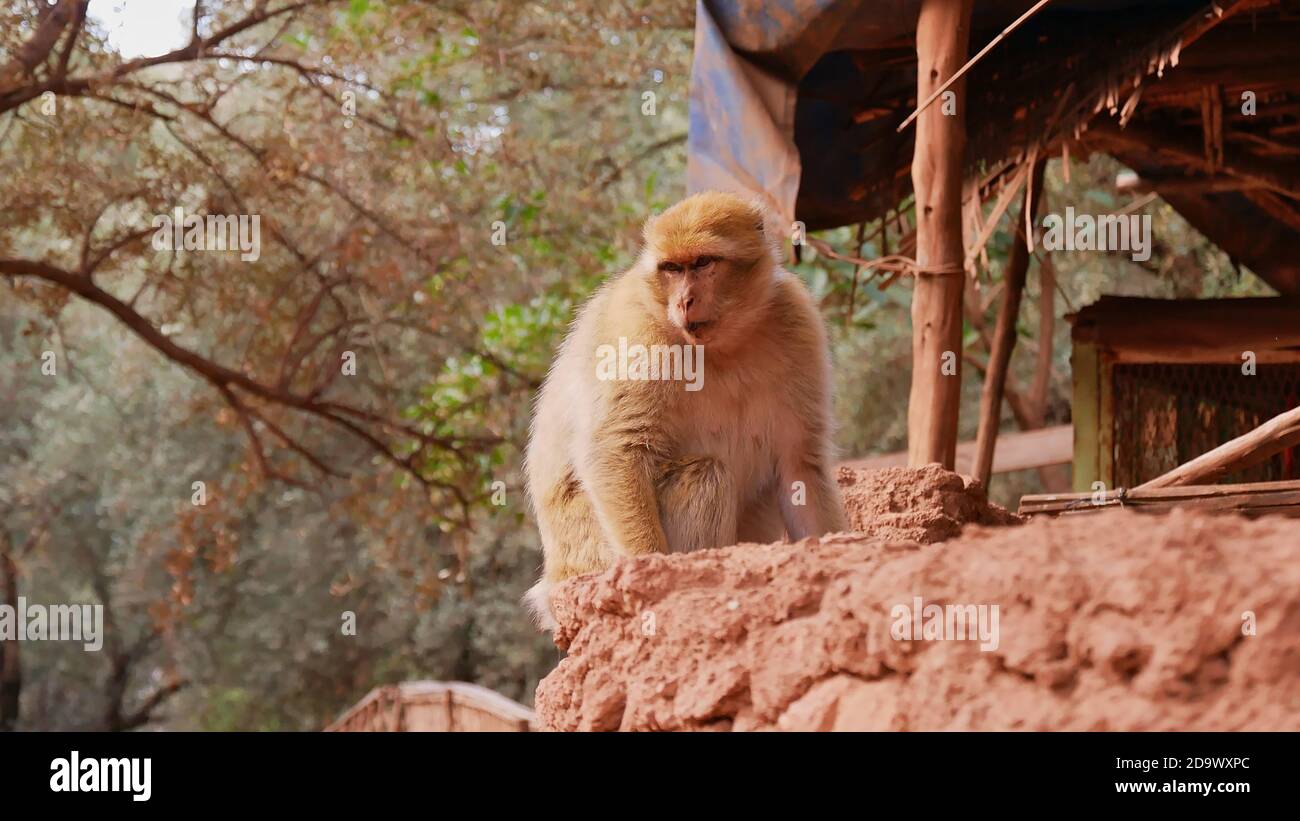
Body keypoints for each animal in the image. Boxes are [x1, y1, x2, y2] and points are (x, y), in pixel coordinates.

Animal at [523, 191, 846, 630]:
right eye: (672, 268)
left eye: (703, 263)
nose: (684, 301)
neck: (723, 345)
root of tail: (554, 583)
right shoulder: (638, 332)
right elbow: (615, 449)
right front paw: (648, 571)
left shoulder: (797, 321)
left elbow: (799, 464)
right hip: (591, 556)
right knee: (707, 474)